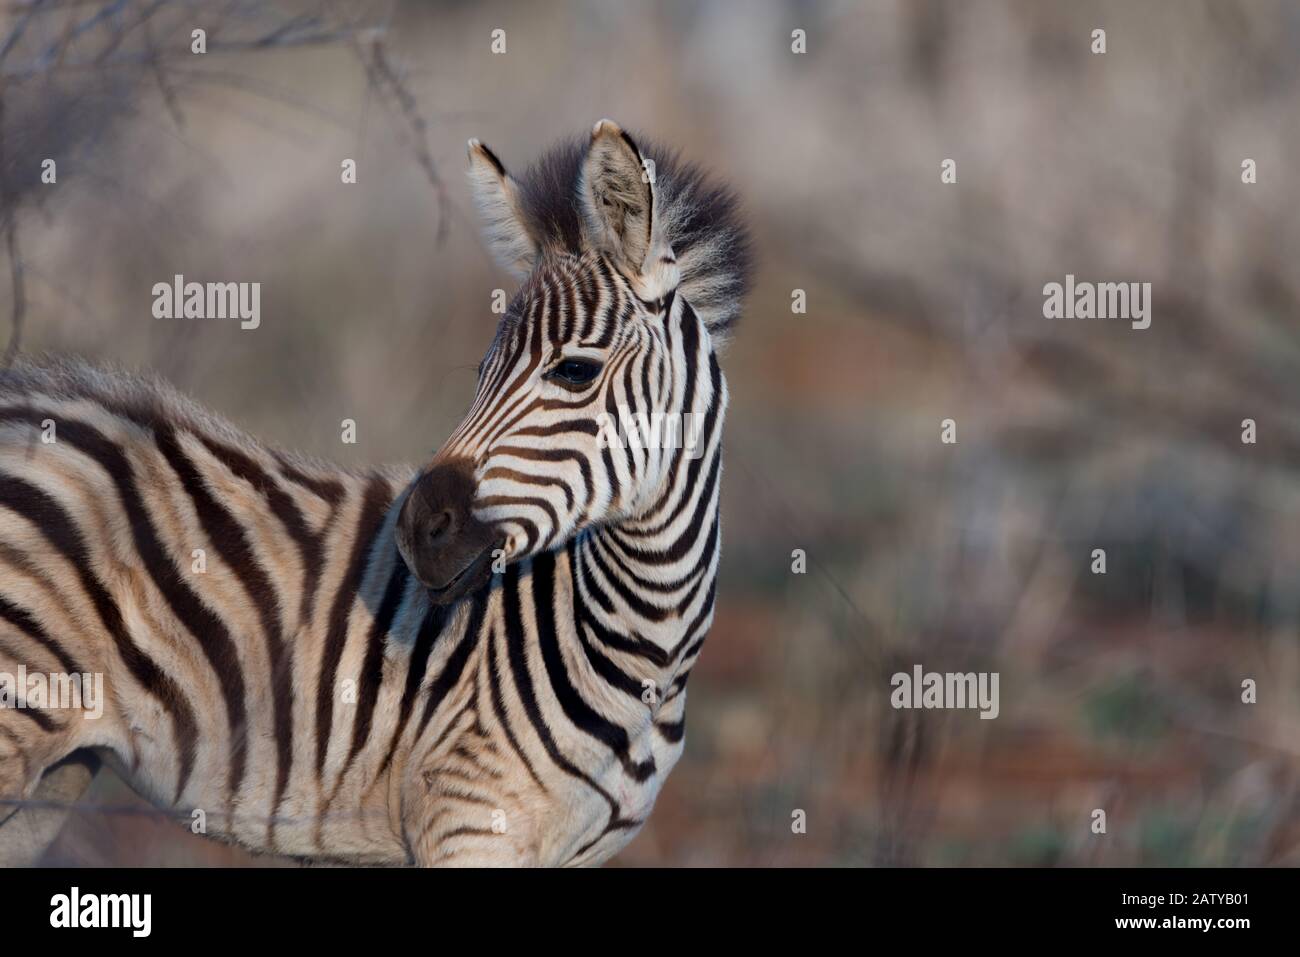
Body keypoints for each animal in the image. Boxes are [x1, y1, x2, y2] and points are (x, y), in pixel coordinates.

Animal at [0, 119, 751, 867]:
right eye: (482, 371)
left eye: (574, 371)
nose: (416, 530)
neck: (642, 649)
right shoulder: (467, 821)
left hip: (58, 773)